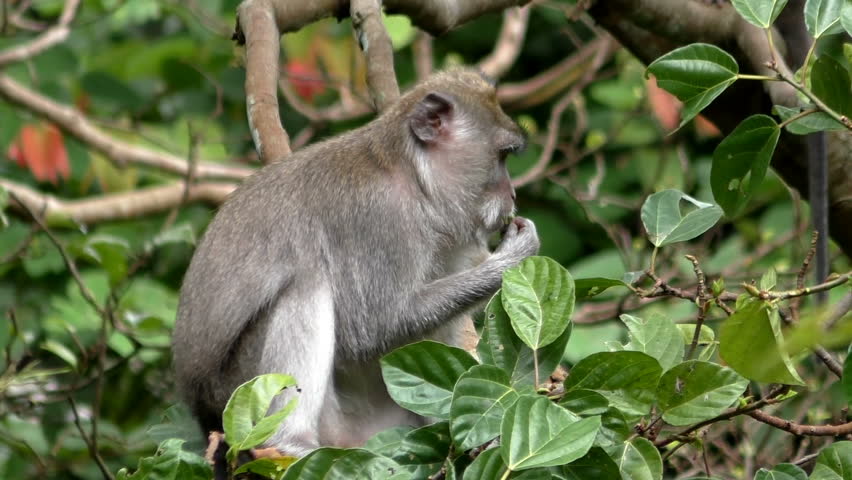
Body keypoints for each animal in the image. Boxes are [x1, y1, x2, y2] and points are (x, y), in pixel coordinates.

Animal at [172, 68, 540, 457]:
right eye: (502, 157)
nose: (512, 193)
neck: (412, 176)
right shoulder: (378, 216)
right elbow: (373, 328)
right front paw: (512, 256)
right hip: (241, 394)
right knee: (306, 286)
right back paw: (288, 443)